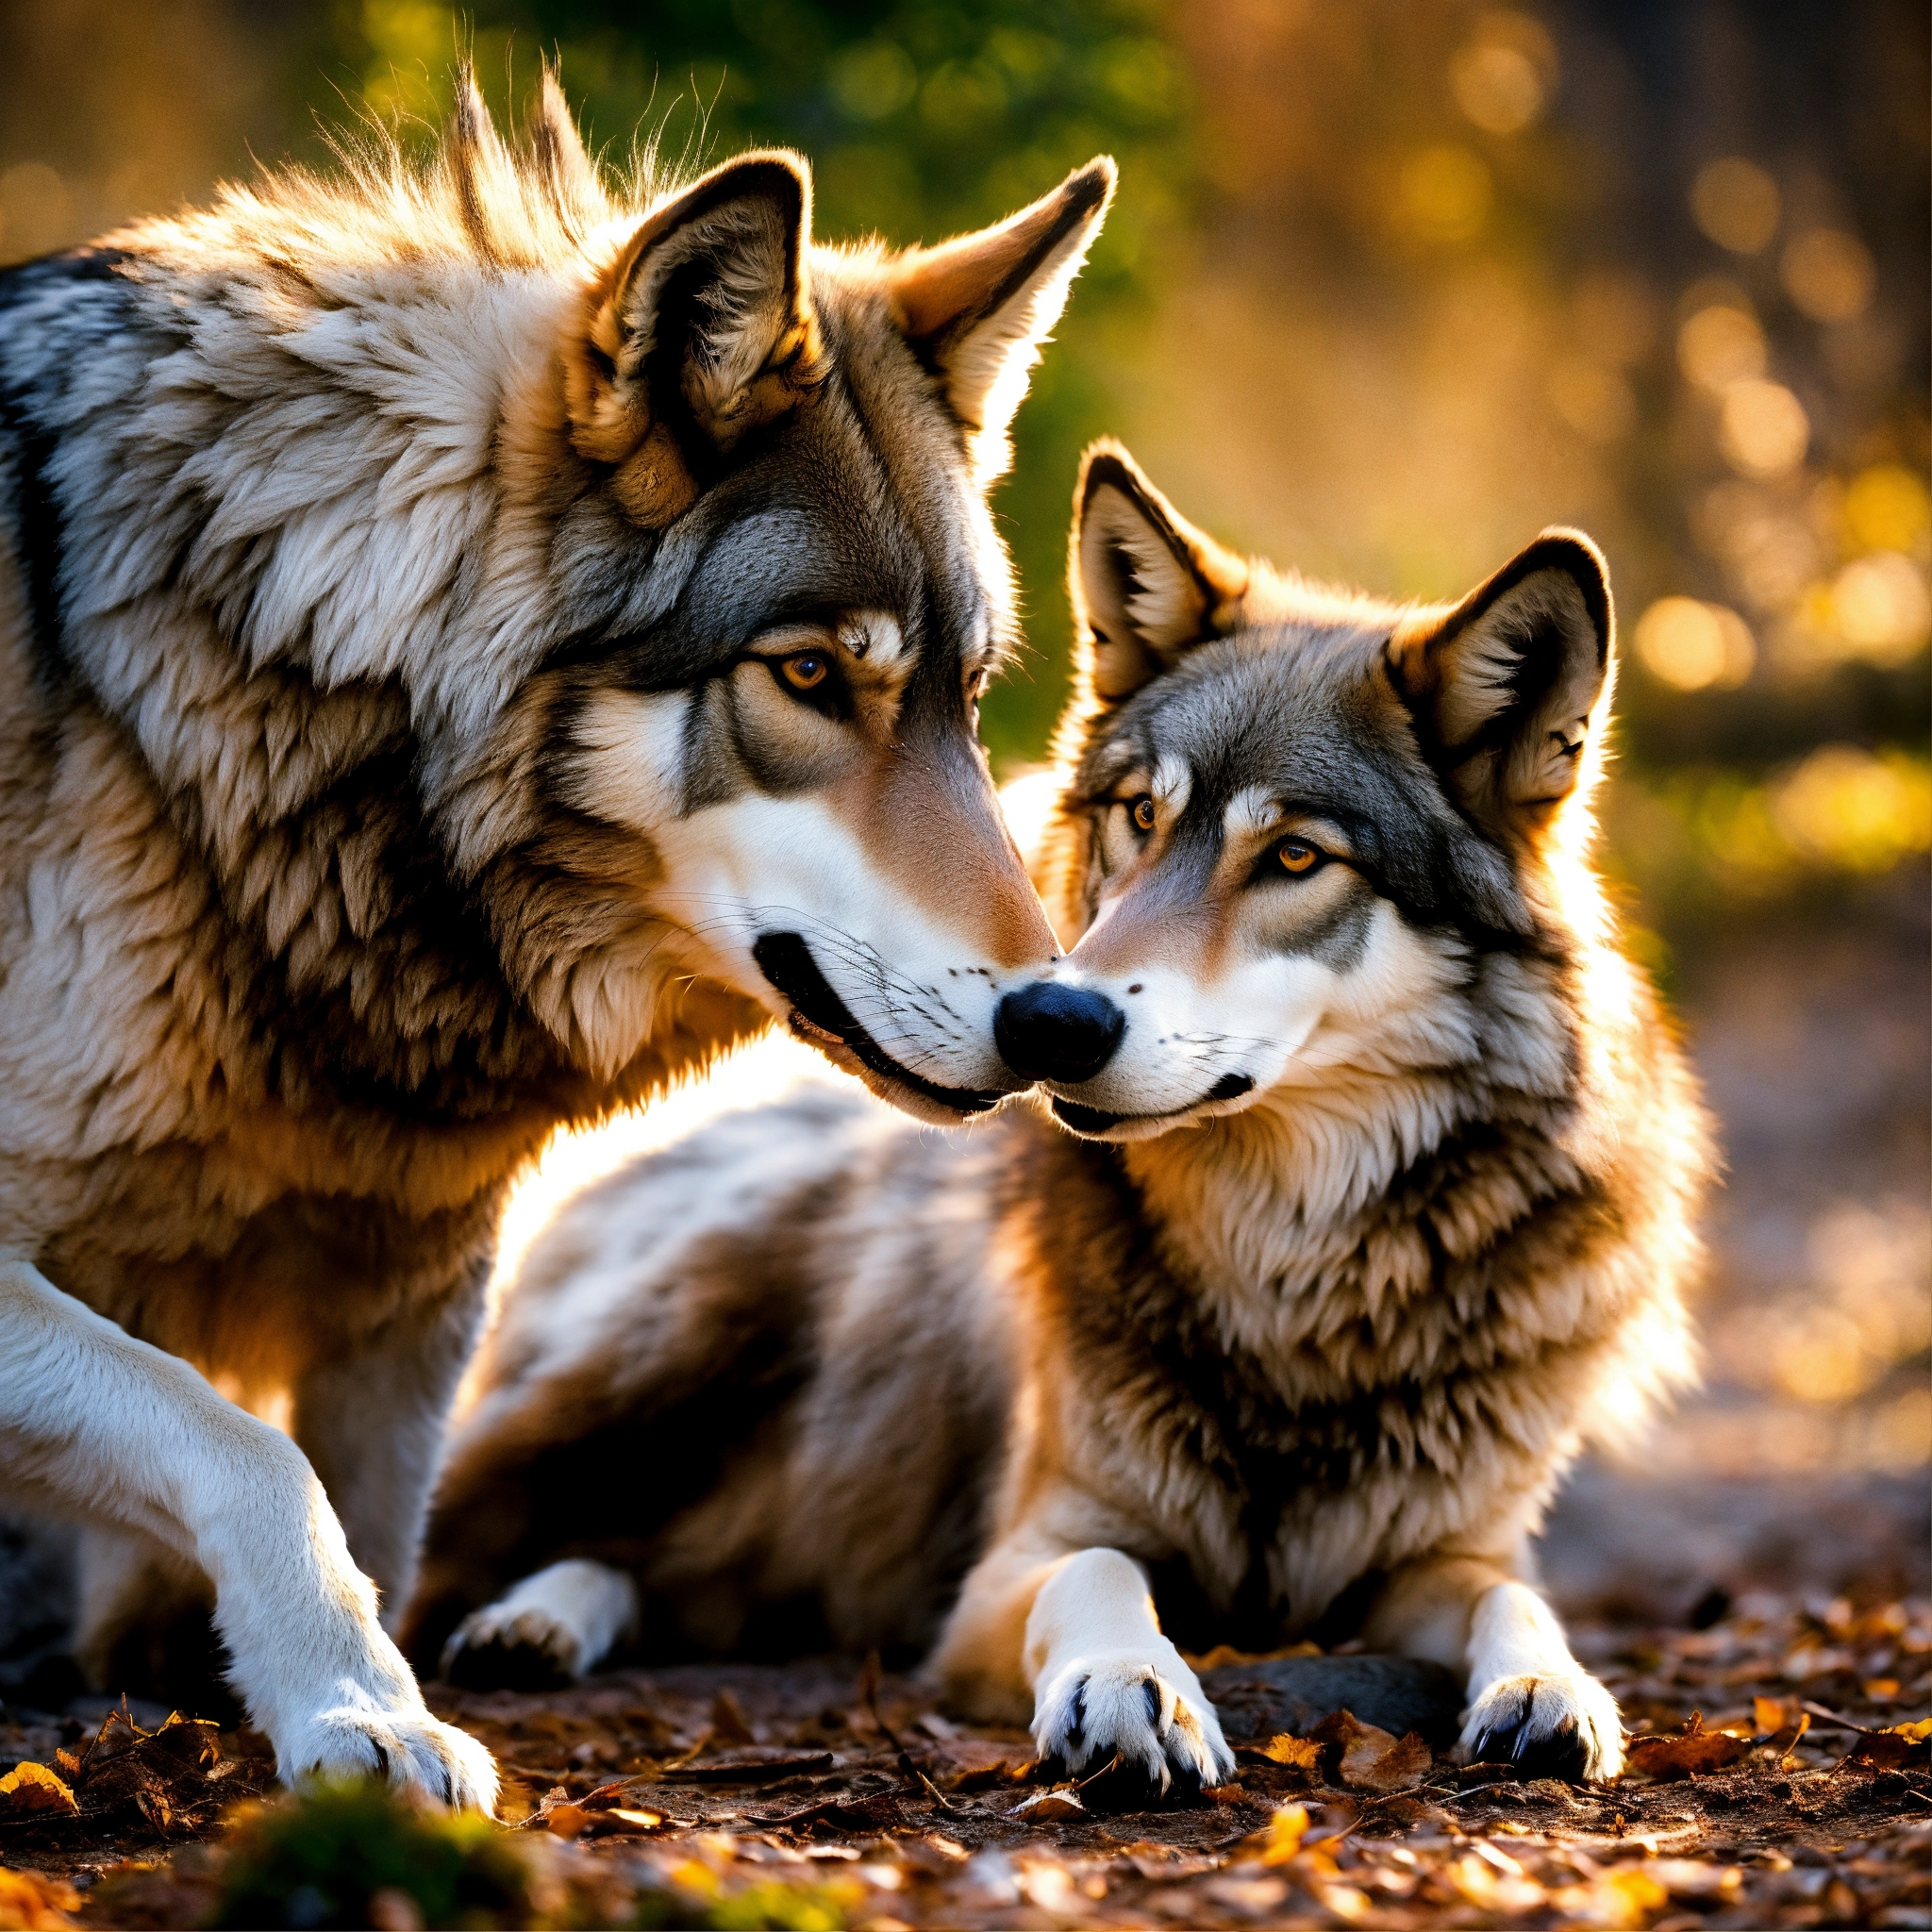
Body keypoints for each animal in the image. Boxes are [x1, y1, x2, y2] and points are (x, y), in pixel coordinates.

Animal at [0, 69, 1115, 1807]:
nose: (1058, 1024)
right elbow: (244, 1452)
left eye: (967, 692)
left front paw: (345, 1711)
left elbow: (370, 1527)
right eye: (809, 676)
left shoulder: (413, 1300)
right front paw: (362, 1713)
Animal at [410, 442, 1710, 1790]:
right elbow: (1095, 1572)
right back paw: (506, 1631)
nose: (1052, 1019)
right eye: (1137, 813)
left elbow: (1519, 1598)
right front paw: (1131, 1684)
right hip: (625, 1386)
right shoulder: (1015, 1561)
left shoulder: (1442, 1552)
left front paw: (1551, 1688)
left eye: (1296, 858)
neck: (1293, 1284)